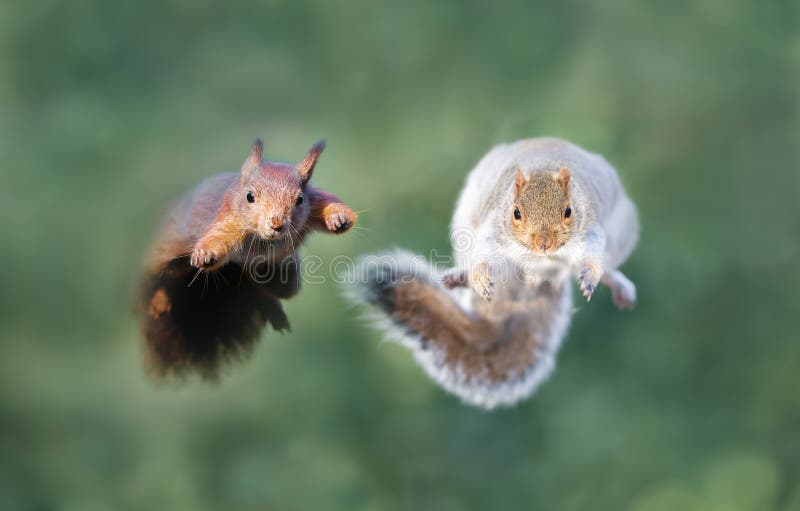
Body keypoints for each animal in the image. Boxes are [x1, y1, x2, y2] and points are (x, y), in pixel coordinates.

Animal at [138, 138, 357, 380]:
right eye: (250, 196)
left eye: (299, 199)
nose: (276, 224)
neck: (265, 240)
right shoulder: (230, 220)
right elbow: (217, 238)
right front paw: (205, 255)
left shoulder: (315, 199)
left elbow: (329, 201)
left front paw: (338, 217)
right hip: (162, 255)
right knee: (158, 280)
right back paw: (158, 301)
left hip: (283, 277)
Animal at [351, 137, 639, 409]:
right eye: (516, 212)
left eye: (568, 211)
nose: (544, 244)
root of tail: (530, 287)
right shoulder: (492, 228)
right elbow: (483, 253)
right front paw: (480, 277)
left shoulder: (590, 229)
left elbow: (593, 255)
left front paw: (590, 276)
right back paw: (462, 278)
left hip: (623, 230)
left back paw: (616, 282)